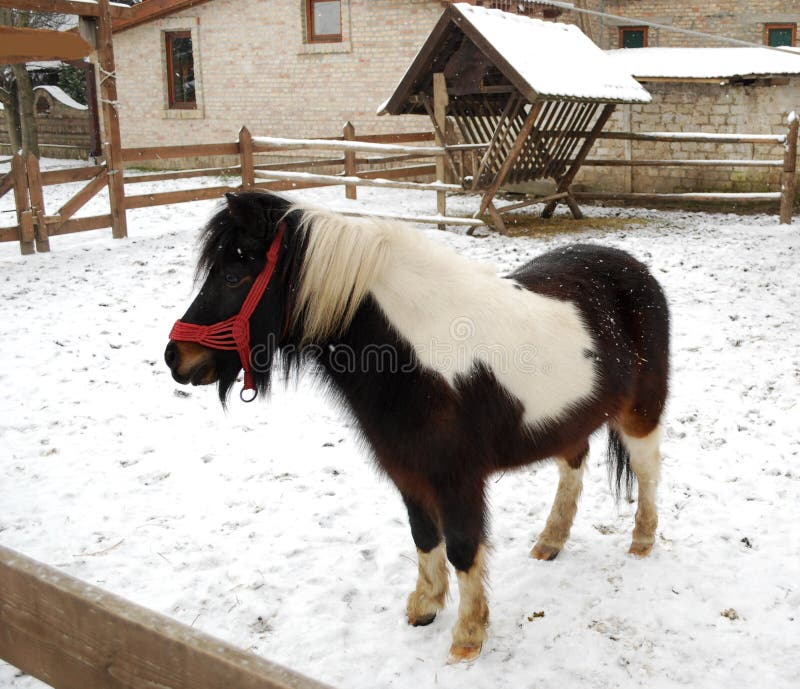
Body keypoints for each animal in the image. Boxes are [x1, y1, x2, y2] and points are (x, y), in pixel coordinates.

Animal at [164, 190, 670, 663]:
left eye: (233, 275)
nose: (175, 357)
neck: (412, 357)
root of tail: (634, 268)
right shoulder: (407, 471)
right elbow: (425, 537)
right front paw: (426, 606)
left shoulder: (457, 479)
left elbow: (463, 548)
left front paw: (468, 635)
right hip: (568, 419)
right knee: (573, 465)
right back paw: (551, 541)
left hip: (641, 413)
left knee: (647, 471)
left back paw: (642, 540)